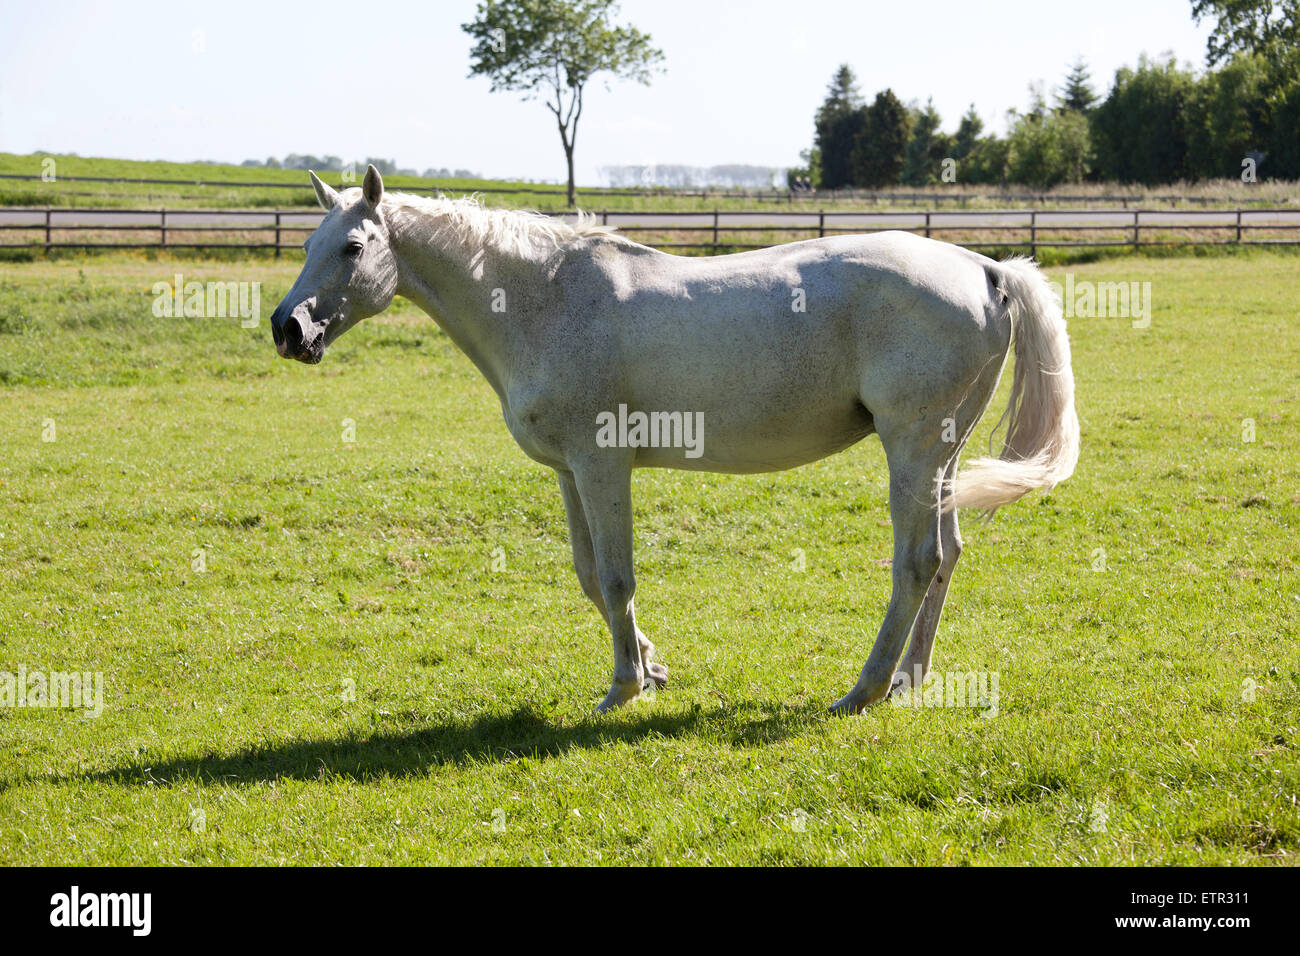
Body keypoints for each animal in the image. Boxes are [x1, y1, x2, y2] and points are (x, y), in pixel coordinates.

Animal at [270, 165, 1079, 714]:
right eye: (307, 242)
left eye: (352, 247)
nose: (288, 328)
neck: (544, 297)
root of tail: (986, 268)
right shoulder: (570, 471)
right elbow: (588, 575)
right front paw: (652, 667)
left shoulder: (604, 464)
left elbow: (617, 577)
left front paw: (625, 688)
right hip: (941, 455)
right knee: (946, 556)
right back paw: (908, 680)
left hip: (911, 450)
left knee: (916, 562)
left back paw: (865, 688)